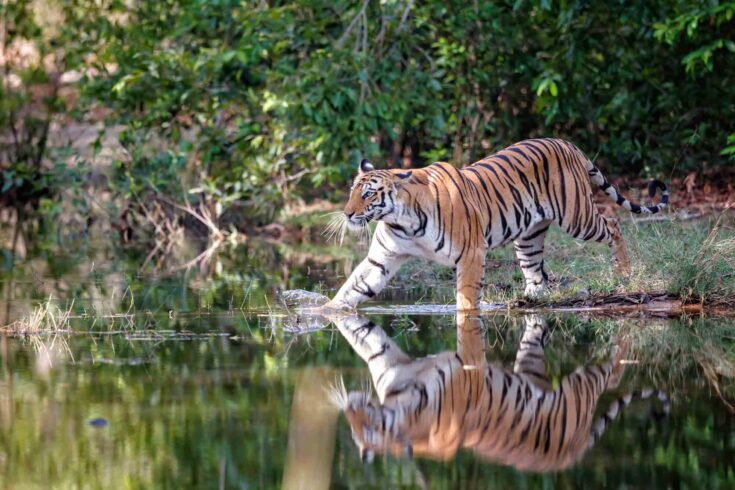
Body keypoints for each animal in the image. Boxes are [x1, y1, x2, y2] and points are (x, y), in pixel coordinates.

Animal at [324, 138, 668, 311]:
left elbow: (465, 299)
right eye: (352, 191)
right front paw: (324, 311)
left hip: (577, 216)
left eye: (368, 194)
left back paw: (624, 272)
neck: (402, 220)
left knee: (613, 223)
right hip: (528, 237)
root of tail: (566, 142)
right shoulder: (382, 258)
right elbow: (353, 288)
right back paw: (529, 299)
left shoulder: (471, 253)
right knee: (535, 273)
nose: (348, 214)